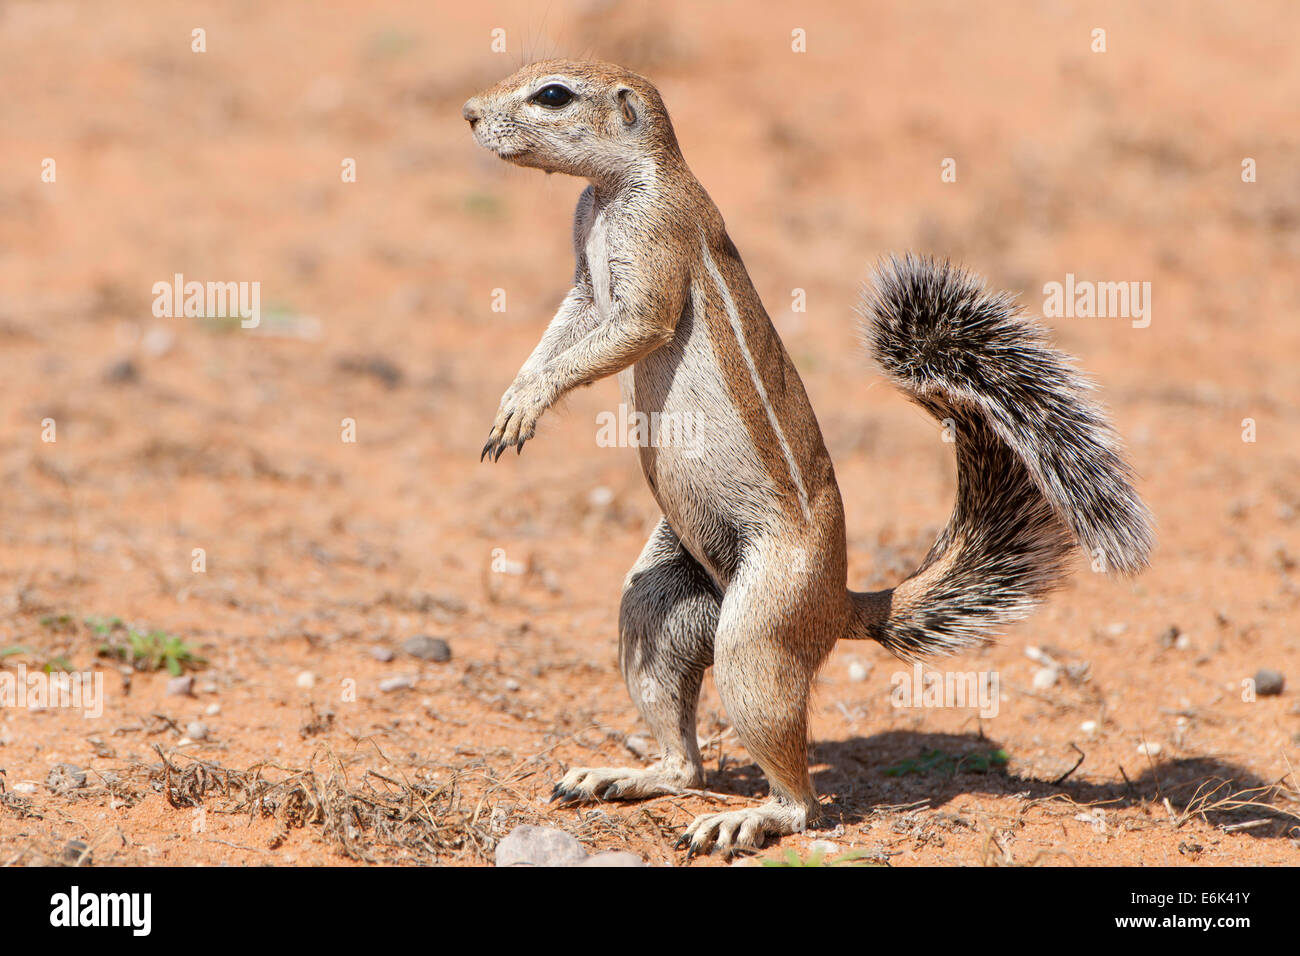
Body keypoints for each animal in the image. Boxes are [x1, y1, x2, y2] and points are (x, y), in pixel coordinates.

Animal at [462, 60, 1153, 856]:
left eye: (553, 94)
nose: (469, 114)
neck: (616, 187)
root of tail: (840, 602)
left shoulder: (656, 242)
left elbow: (634, 324)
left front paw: (530, 400)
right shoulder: (583, 273)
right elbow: (567, 323)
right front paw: (513, 396)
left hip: (758, 632)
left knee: (802, 800)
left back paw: (749, 816)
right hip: (659, 600)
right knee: (685, 760)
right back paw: (624, 775)